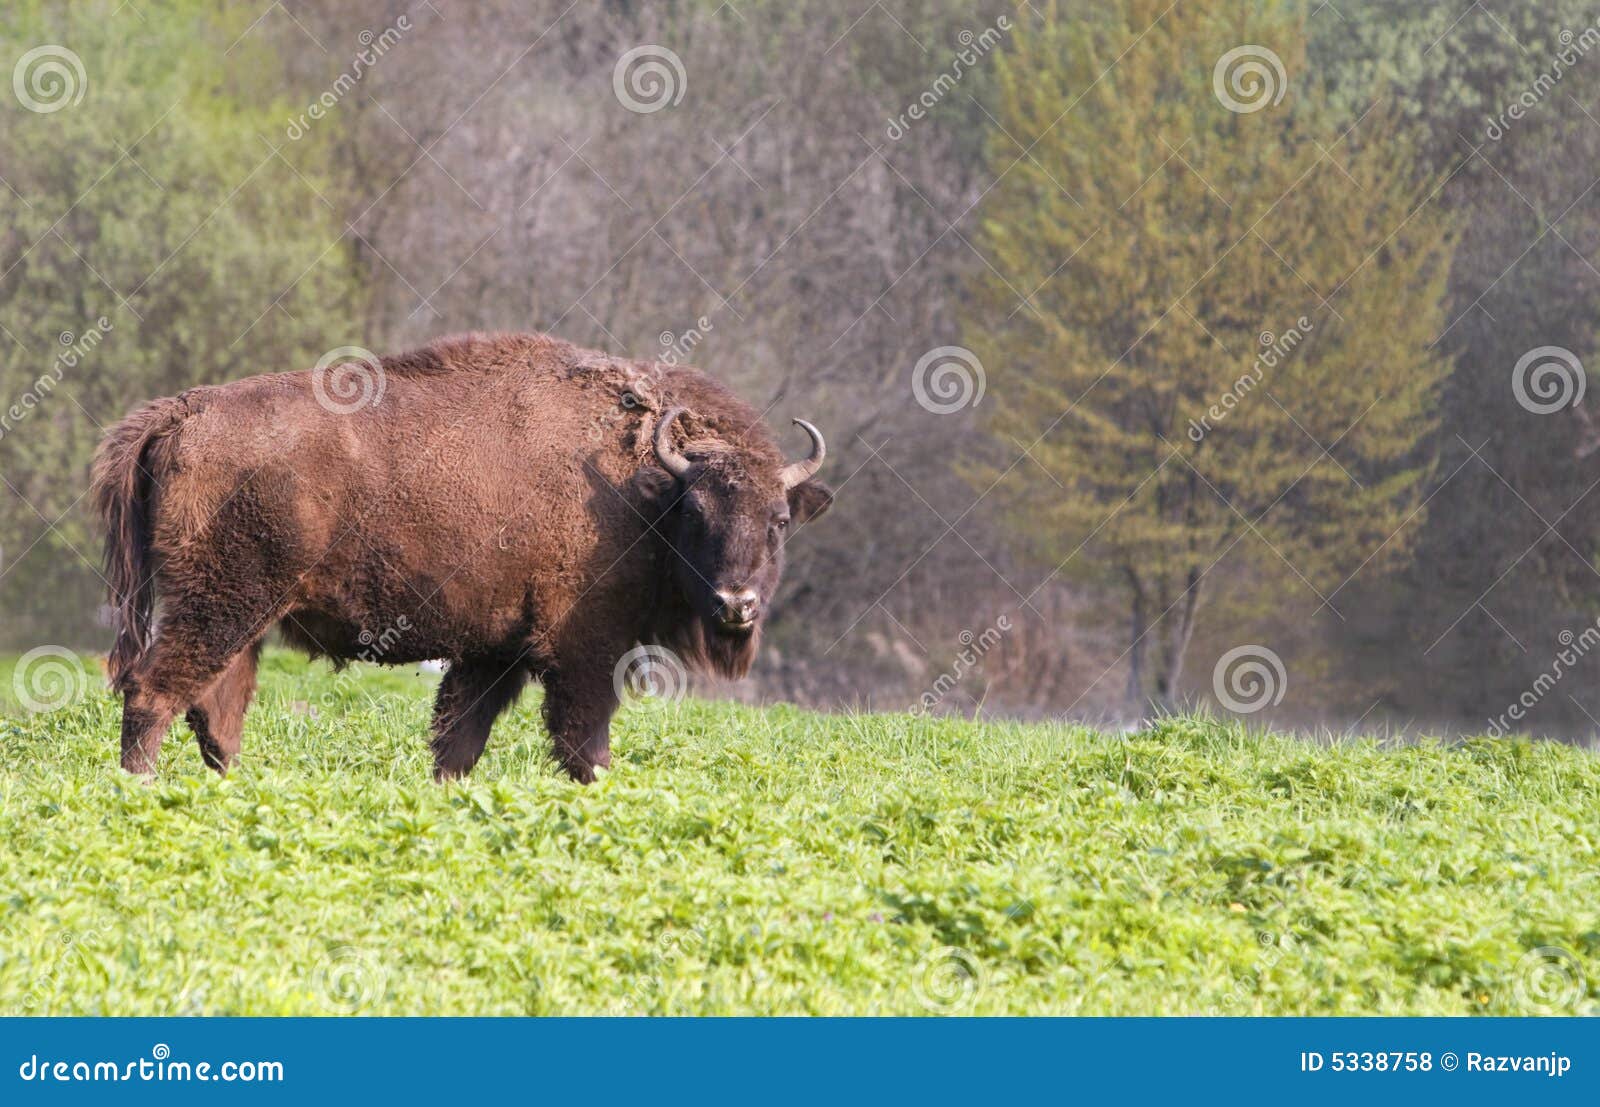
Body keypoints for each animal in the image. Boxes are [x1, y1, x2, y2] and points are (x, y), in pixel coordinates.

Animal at [91, 331, 832, 782]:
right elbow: (583, 743)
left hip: (242, 618)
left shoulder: (492, 653)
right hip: (222, 606)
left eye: (779, 521)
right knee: (155, 690)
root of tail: (184, 409)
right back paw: (142, 785)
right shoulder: (585, 652)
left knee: (216, 711)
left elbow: (457, 739)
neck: (644, 486)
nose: (736, 604)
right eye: (697, 514)